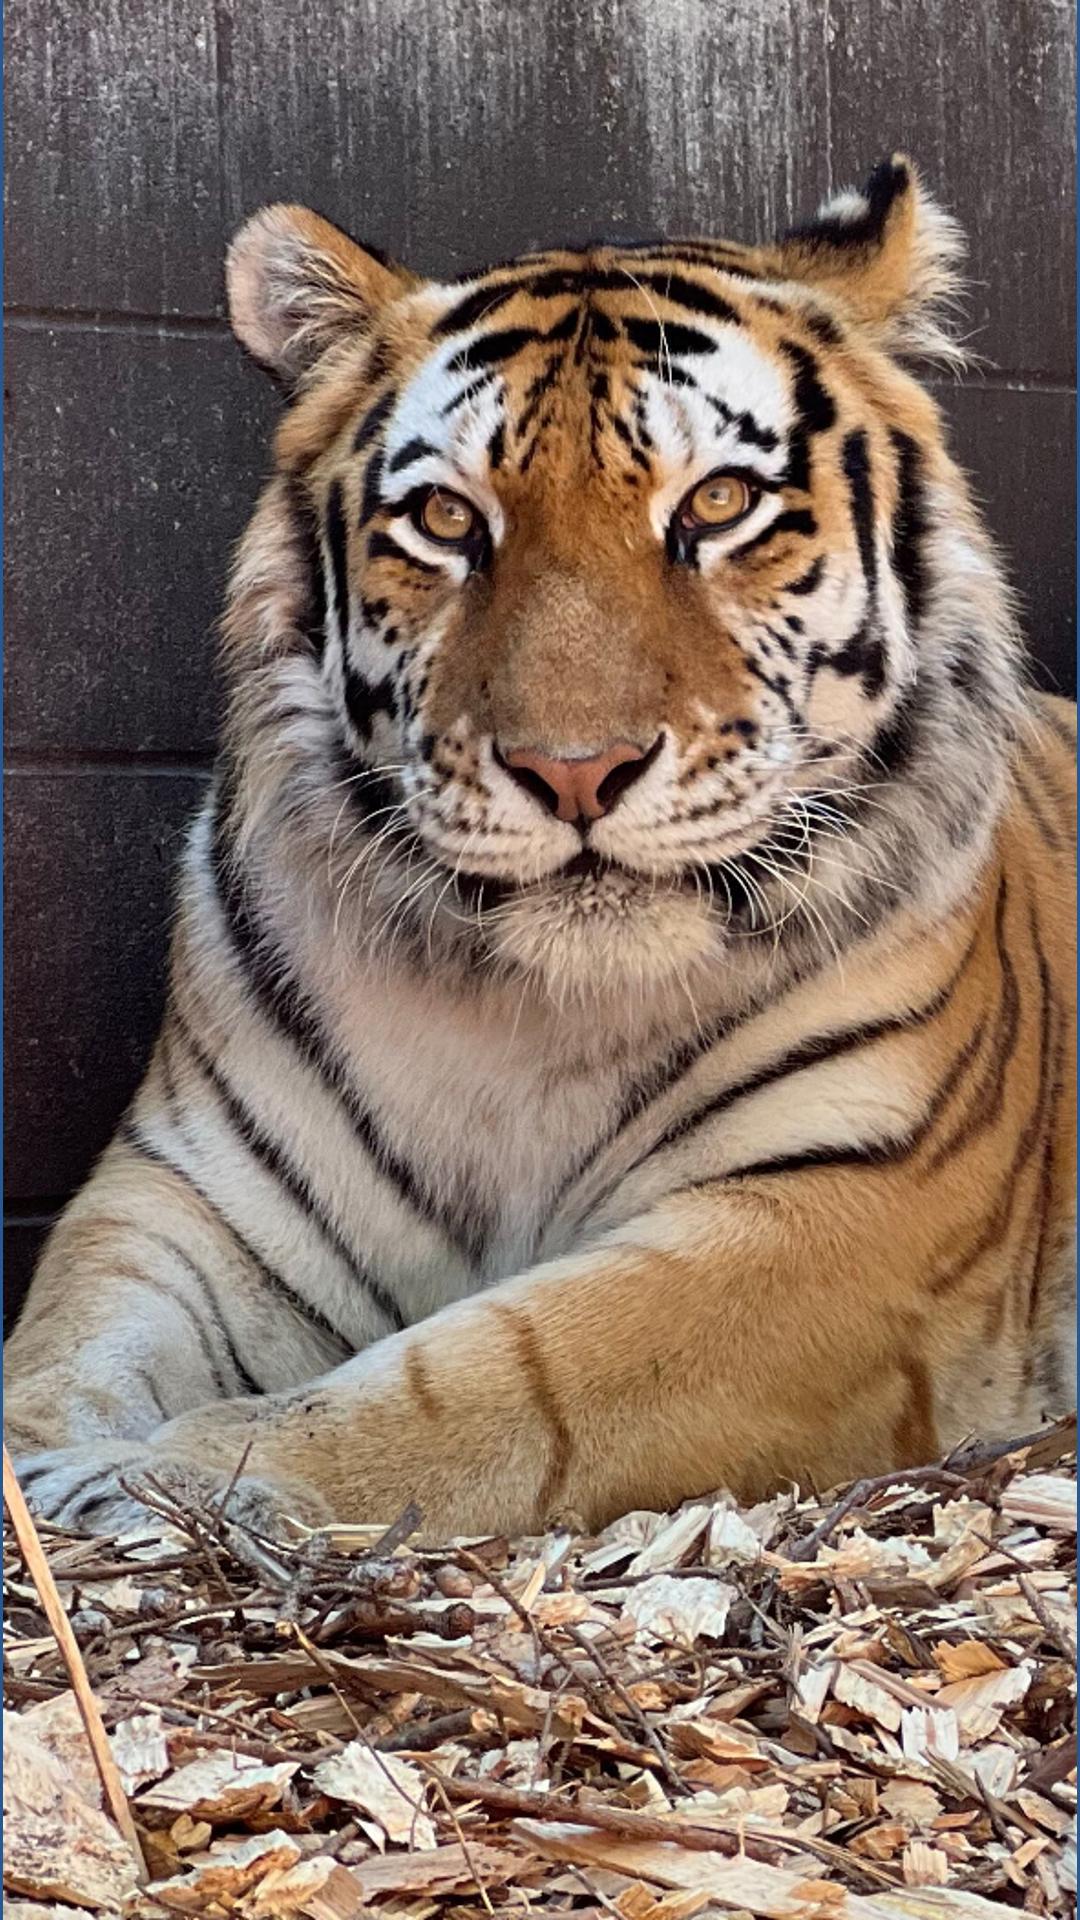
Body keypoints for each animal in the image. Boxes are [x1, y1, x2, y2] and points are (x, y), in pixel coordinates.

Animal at [5, 155, 1075, 1542]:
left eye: (719, 504)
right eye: (448, 519)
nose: (576, 769)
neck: (526, 1016)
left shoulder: (850, 1208)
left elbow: (503, 1374)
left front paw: (168, 1475)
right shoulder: (189, 1192)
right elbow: (74, 1337)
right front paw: (50, 1460)